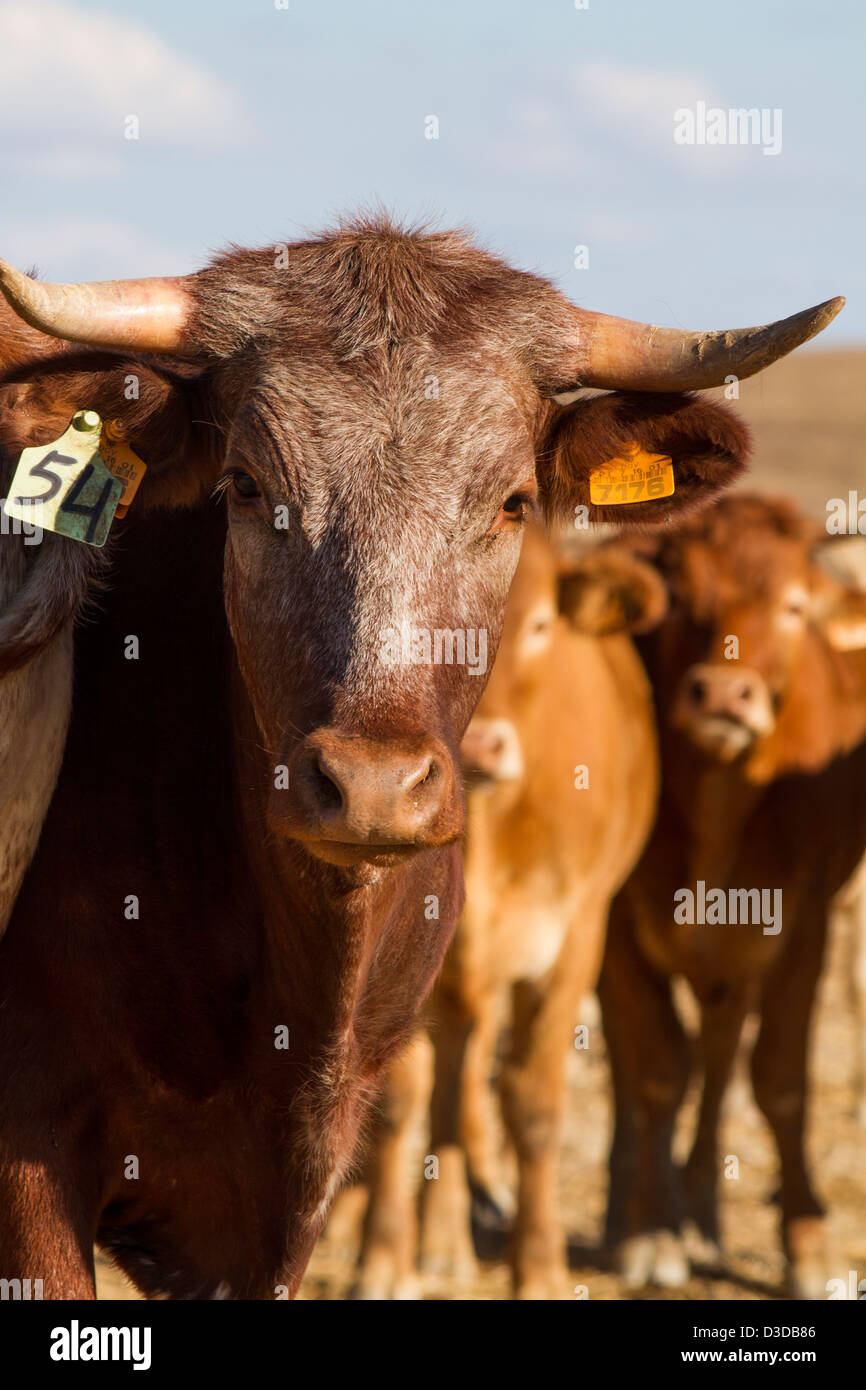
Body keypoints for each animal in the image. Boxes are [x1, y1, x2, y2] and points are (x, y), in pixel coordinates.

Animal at [350, 521, 667, 1299]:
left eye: (542, 625)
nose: (483, 745)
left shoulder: (572, 941)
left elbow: (532, 1106)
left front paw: (540, 1265)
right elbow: (402, 1101)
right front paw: (383, 1258)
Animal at [599, 494, 866, 1298]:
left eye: (794, 605)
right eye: (682, 597)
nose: (722, 694)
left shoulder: (804, 923)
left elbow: (779, 1080)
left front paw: (806, 1245)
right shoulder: (617, 920)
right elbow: (657, 1070)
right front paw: (651, 1234)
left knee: (720, 1051)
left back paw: (705, 1208)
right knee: (633, 1058)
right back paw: (632, 1205)